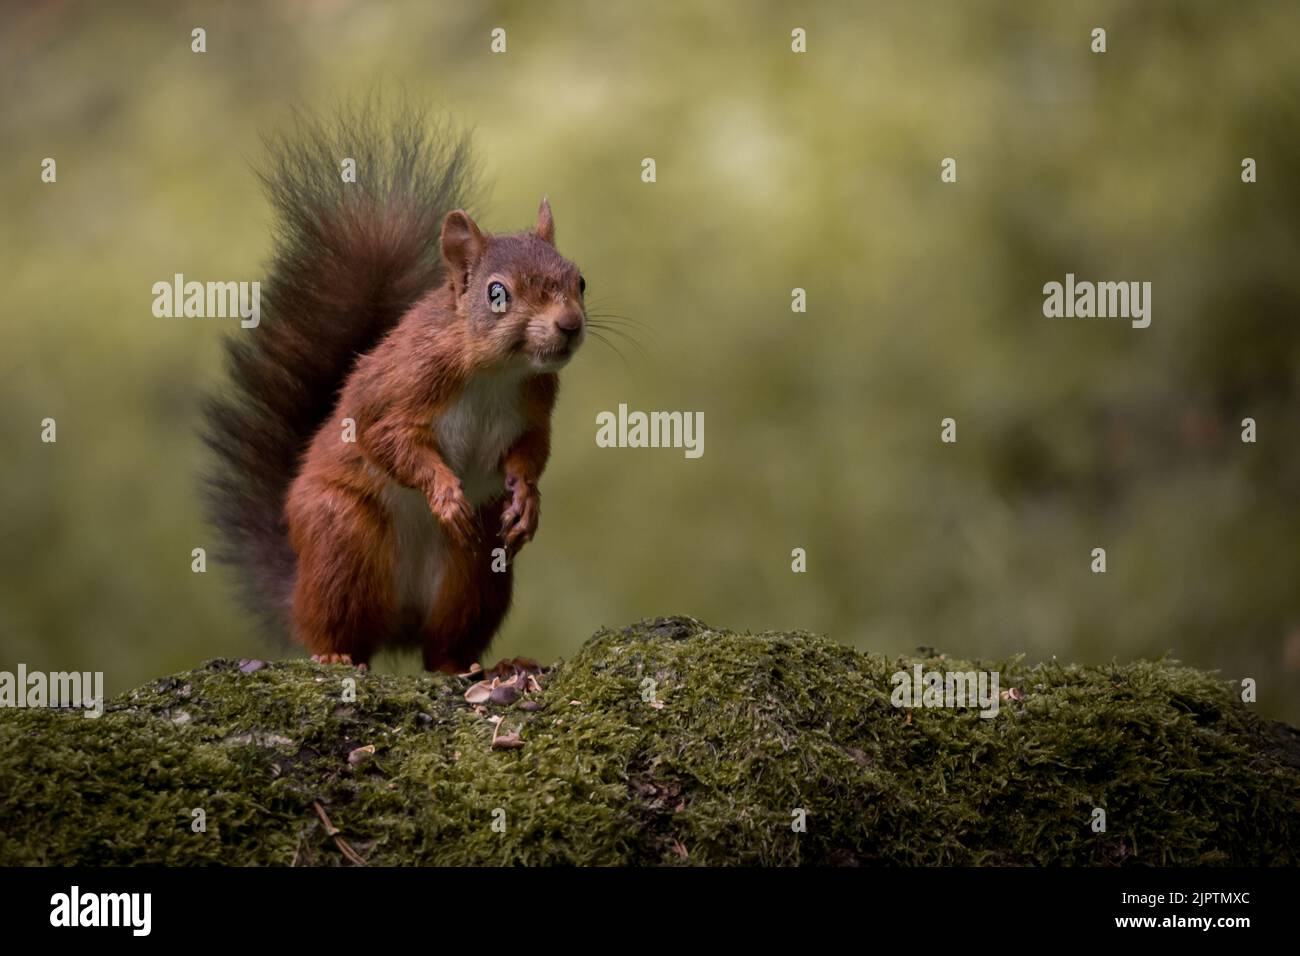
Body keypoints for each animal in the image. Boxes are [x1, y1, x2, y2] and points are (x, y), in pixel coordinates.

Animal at [202, 107, 585, 672]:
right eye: (497, 293)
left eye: (580, 281)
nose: (570, 325)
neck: (497, 372)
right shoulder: (405, 384)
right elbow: (386, 438)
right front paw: (445, 495)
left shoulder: (535, 406)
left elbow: (530, 450)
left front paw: (527, 500)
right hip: (342, 540)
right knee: (333, 626)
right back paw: (336, 656)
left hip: (476, 573)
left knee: (443, 649)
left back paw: (480, 667)